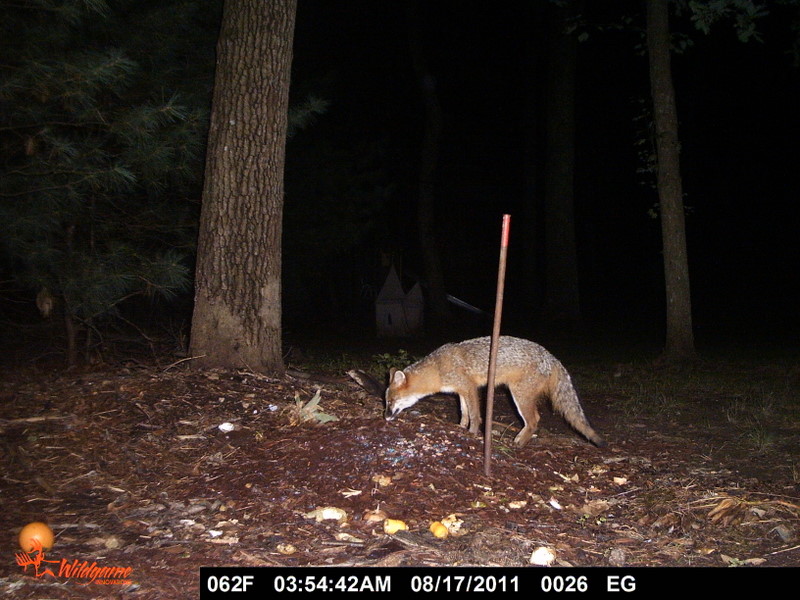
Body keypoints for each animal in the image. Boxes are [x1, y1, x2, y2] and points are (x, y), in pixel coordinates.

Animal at [384, 336, 605, 447]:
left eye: (391, 401)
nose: (385, 416)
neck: (437, 368)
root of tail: (552, 357)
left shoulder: (470, 388)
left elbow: (475, 415)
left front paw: (472, 434)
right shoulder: (461, 391)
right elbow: (464, 413)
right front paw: (460, 428)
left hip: (519, 396)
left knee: (534, 420)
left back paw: (519, 443)